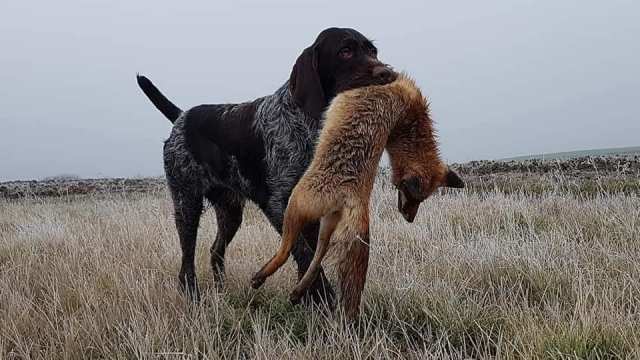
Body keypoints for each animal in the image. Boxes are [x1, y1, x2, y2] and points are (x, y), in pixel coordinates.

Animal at [136, 27, 396, 304]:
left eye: (372, 51)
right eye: (345, 51)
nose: (387, 73)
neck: (308, 125)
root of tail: (182, 117)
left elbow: (312, 255)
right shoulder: (279, 205)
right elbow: (304, 254)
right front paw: (321, 296)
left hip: (230, 211)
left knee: (216, 250)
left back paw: (221, 290)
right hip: (186, 203)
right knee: (187, 260)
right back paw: (193, 295)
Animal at [250, 73, 464, 318]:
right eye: (415, 198)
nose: (410, 219)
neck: (409, 113)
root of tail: (350, 197)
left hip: (295, 207)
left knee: (287, 251)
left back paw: (261, 278)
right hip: (327, 227)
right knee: (317, 259)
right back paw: (297, 291)